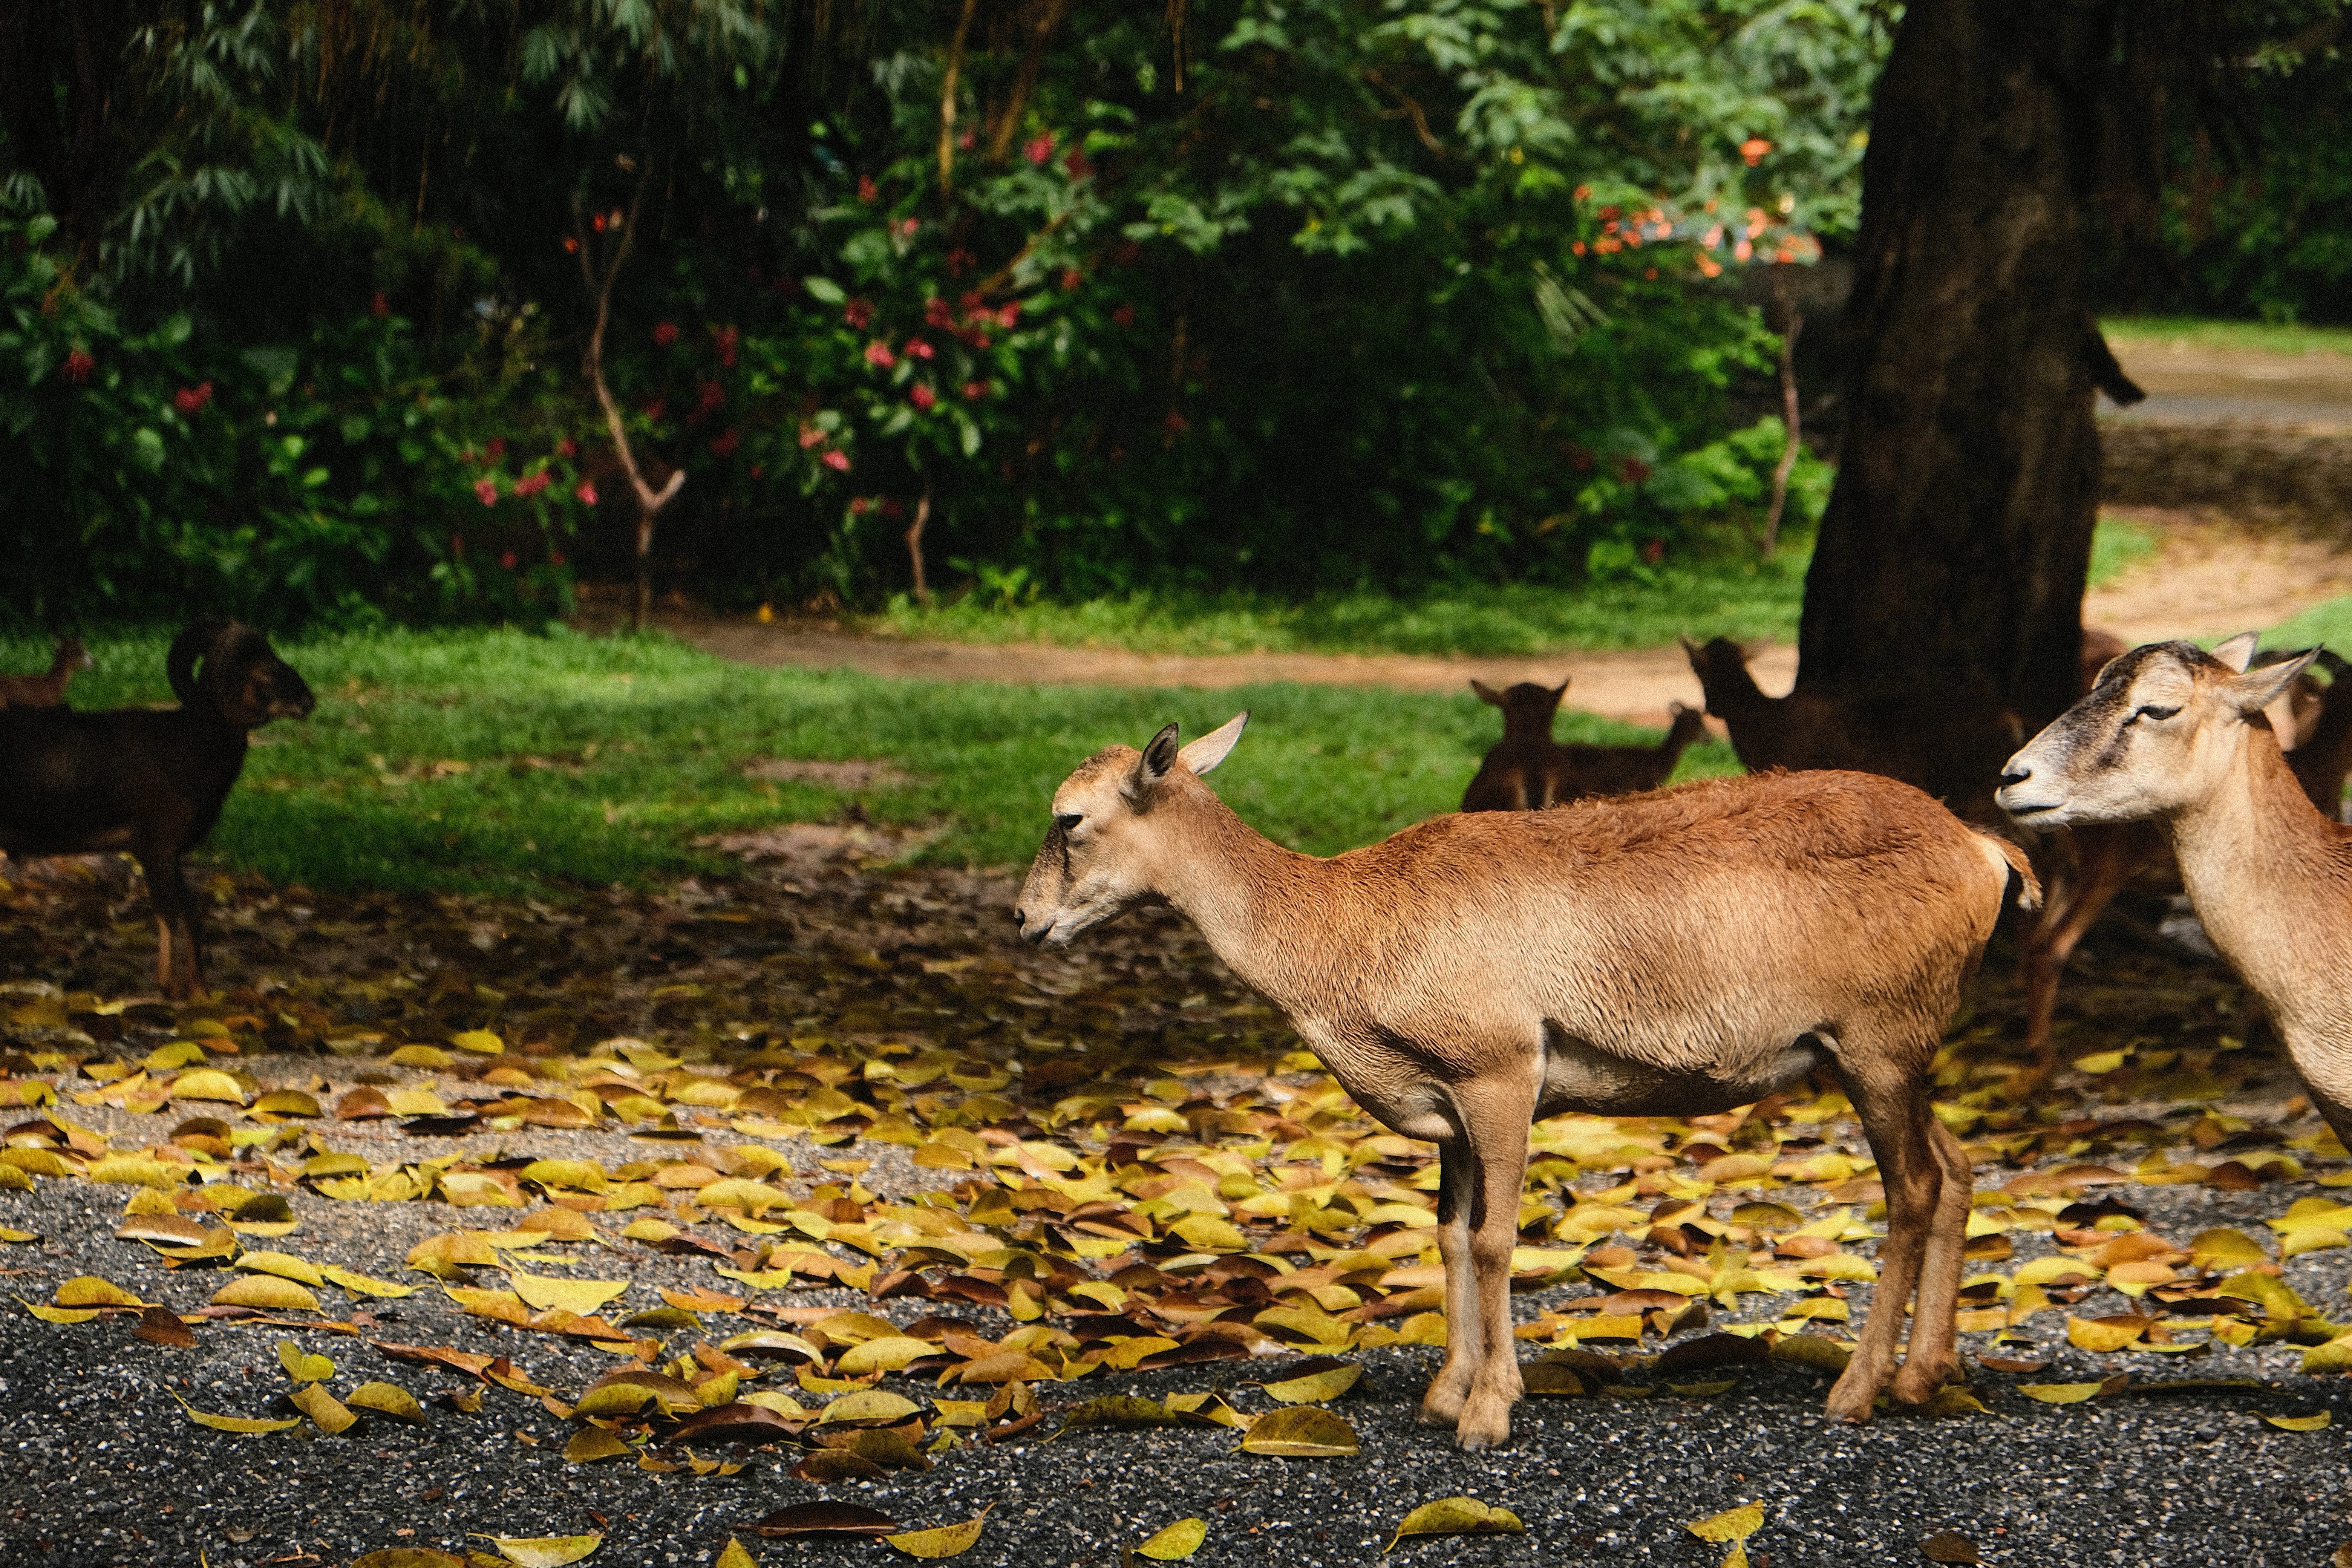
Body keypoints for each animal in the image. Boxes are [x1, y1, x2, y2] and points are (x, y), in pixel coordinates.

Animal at [1014, 713, 2038, 1448]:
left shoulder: (1502, 1070)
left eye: (1070, 819)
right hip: (1899, 1054)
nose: (1024, 922)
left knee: (1912, 1188)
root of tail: (1984, 851)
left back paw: (1857, 1391)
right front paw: (1443, 1394)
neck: (1338, 928)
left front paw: (1487, 1414)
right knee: (1957, 1169)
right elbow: (1448, 1237)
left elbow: (1496, 1242)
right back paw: (1925, 1375)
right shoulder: (1450, 1105)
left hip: (1878, 1045)